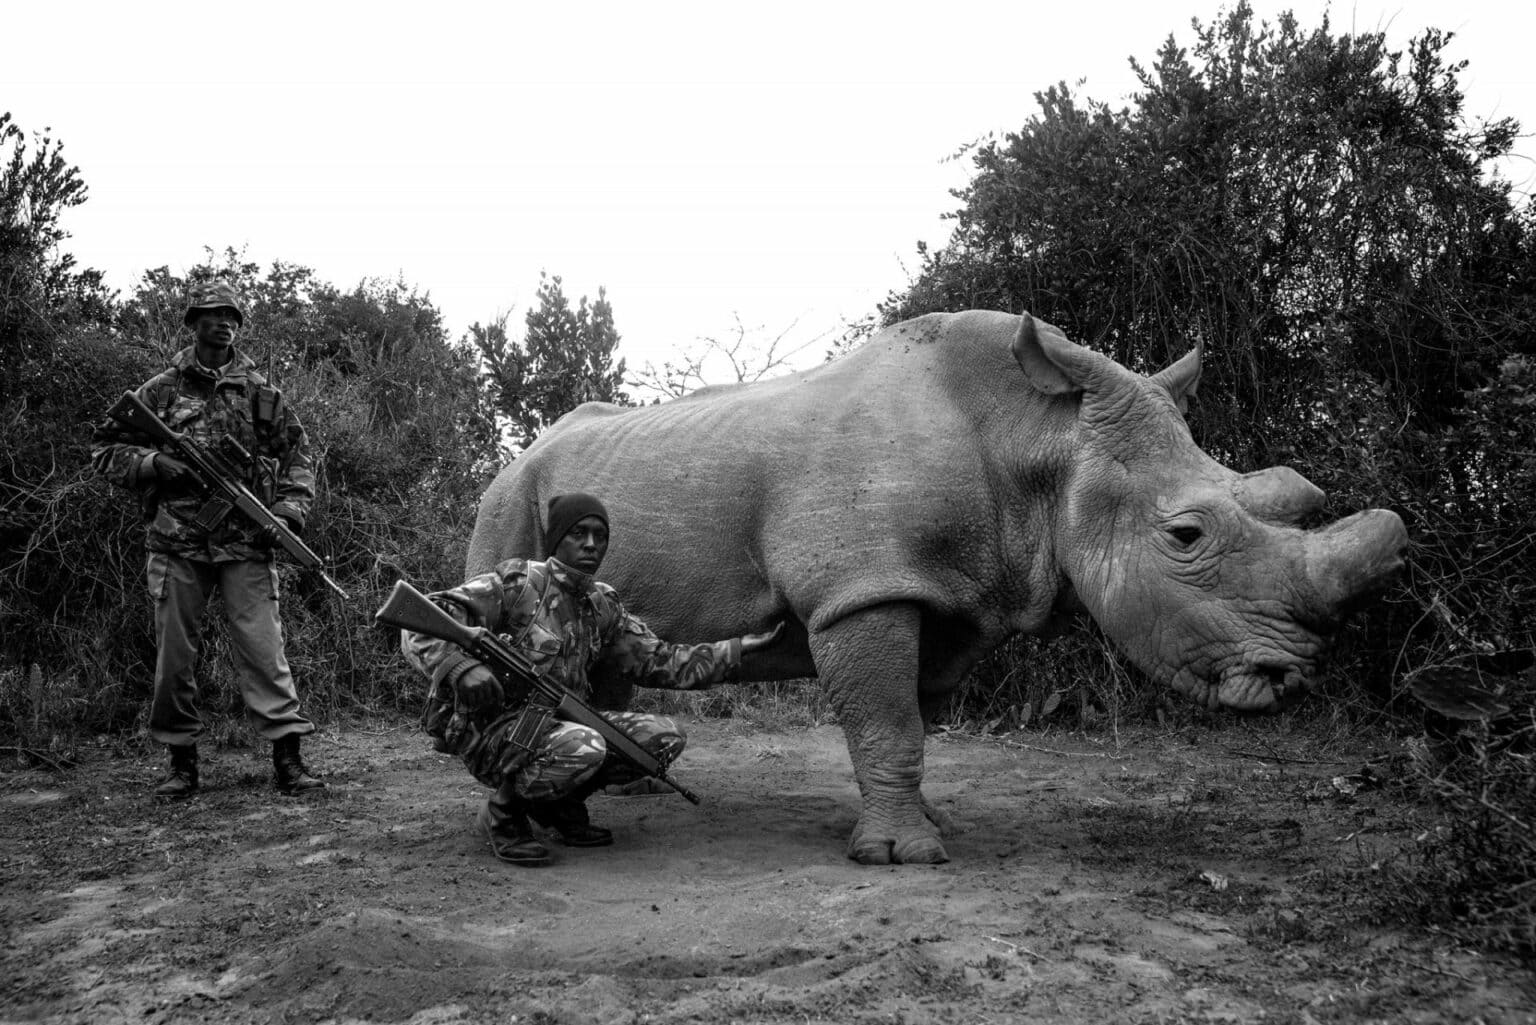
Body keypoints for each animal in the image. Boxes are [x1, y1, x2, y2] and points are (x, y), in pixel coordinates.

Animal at [466, 310, 1408, 865]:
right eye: (1186, 537)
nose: (1291, 674)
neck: (1040, 439)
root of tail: (519, 451)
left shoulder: (961, 594)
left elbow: (915, 717)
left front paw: (925, 828)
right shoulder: (865, 587)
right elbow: (889, 720)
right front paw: (901, 858)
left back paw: (620, 781)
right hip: (507, 493)